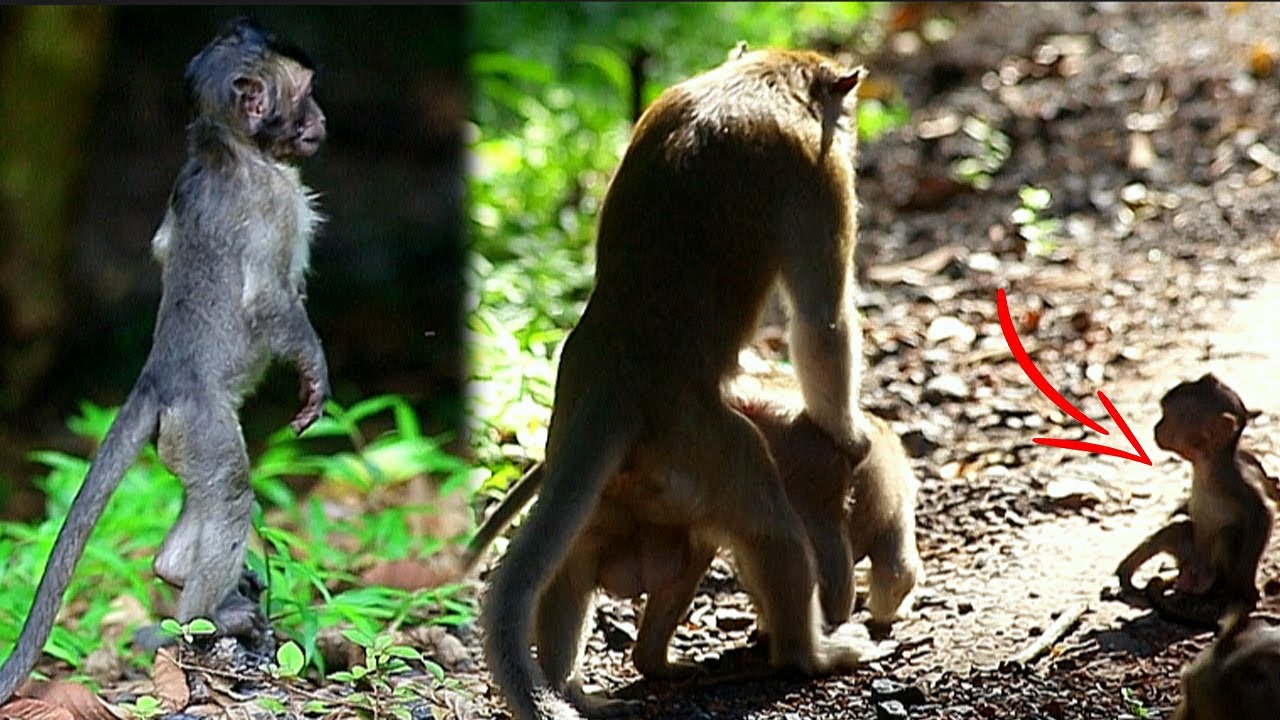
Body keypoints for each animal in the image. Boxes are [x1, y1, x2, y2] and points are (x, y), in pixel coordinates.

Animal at [0, 18, 329, 704]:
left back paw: (173, 571)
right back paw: (203, 616)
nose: (321, 119)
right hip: (201, 421)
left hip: (181, 434)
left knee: (210, 487)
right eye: (305, 95)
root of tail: (160, 377)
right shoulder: (271, 202)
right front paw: (314, 374)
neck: (229, 149)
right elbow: (267, 299)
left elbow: (163, 246)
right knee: (229, 483)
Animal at [480, 47, 870, 720]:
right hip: (702, 444)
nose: (850, 129)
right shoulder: (819, 170)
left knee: (568, 566)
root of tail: (616, 379)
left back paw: (573, 686)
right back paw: (812, 654)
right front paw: (848, 435)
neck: (759, 76)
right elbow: (822, 318)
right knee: (770, 525)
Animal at [1114, 373, 1273, 628]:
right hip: (1189, 555)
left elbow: (1261, 515)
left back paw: (1224, 590)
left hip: (1212, 571)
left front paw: (1246, 591)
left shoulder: (1231, 479)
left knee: (1227, 535)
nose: (1157, 428)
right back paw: (1127, 575)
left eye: (1168, 417)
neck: (1206, 464)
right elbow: (1182, 512)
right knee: (1177, 529)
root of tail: (1193, 573)